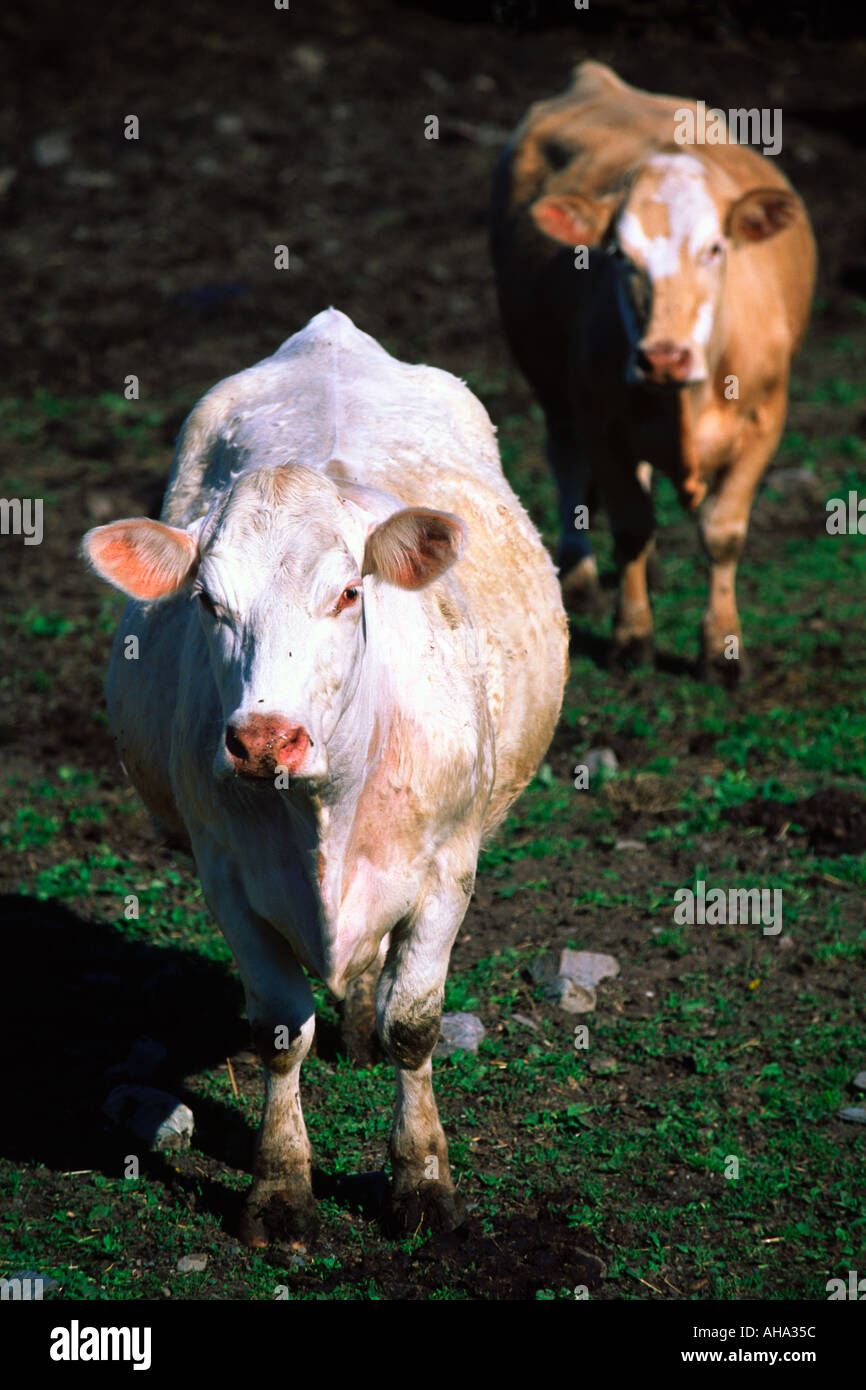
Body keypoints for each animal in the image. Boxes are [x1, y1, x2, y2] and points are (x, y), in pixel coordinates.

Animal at [82, 309, 568, 1244]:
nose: (264, 738)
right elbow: (280, 1031)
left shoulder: (450, 868)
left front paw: (422, 1181)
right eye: (208, 602)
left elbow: (416, 1023)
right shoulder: (226, 878)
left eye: (348, 592)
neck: (323, 816)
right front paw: (280, 1189)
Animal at [491, 61, 816, 683]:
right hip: (547, 377)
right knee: (566, 460)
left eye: (715, 249)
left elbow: (723, 532)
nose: (663, 357)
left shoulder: (767, 416)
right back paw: (580, 573)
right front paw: (631, 637)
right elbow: (630, 526)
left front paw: (720, 649)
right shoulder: (597, 416)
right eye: (619, 255)